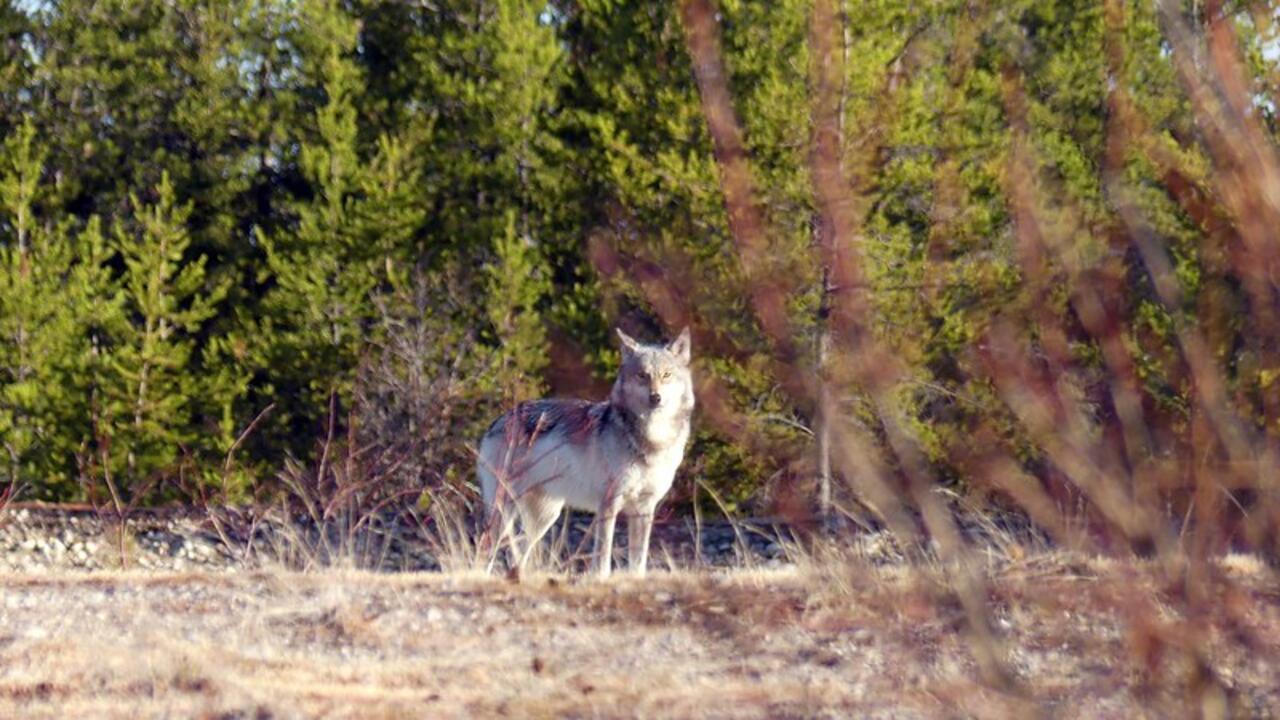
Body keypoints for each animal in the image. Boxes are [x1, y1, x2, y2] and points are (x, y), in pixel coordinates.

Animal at [476, 327, 694, 578]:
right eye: (642, 375)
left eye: (667, 375)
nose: (655, 398)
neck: (651, 441)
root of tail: (499, 420)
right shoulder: (608, 504)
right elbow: (603, 554)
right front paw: (601, 579)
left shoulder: (644, 509)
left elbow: (638, 561)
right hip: (505, 512)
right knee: (486, 547)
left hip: (544, 518)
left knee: (519, 552)